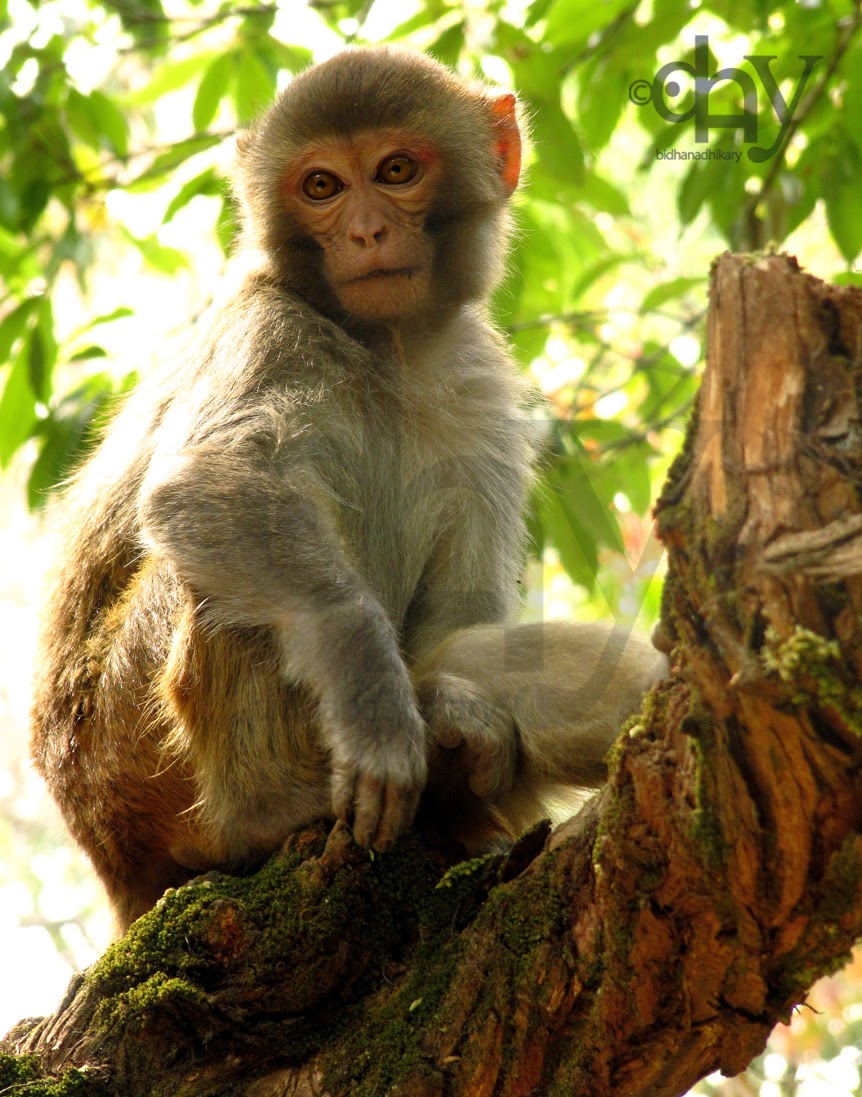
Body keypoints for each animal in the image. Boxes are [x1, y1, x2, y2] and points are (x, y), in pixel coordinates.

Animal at [30, 46, 667, 931]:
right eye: (322, 185)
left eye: (396, 170)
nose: (367, 231)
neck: (384, 347)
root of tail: (108, 859)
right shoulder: (268, 328)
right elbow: (210, 487)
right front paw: (374, 703)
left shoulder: (481, 387)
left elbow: (454, 624)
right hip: (128, 763)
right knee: (234, 565)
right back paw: (274, 807)